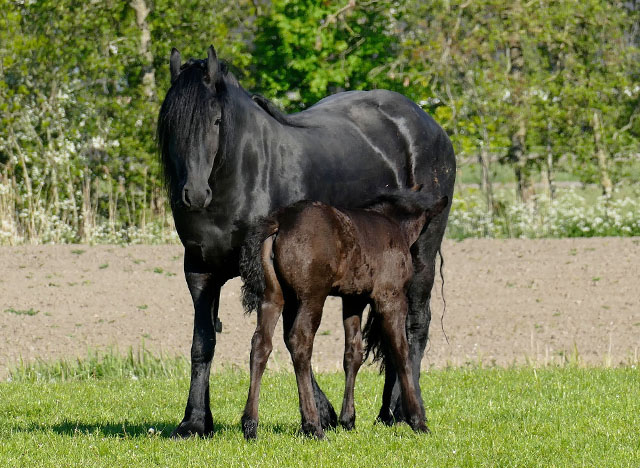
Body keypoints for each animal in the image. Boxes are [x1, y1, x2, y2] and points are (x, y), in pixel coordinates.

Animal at [239, 192, 449, 439]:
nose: (423, 263)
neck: (393, 225)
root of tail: (280, 222)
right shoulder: (391, 297)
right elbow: (400, 351)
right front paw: (418, 421)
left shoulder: (353, 300)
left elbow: (353, 353)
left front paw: (348, 420)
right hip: (312, 296)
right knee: (300, 341)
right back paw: (313, 426)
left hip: (274, 296)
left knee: (261, 343)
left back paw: (250, 425)